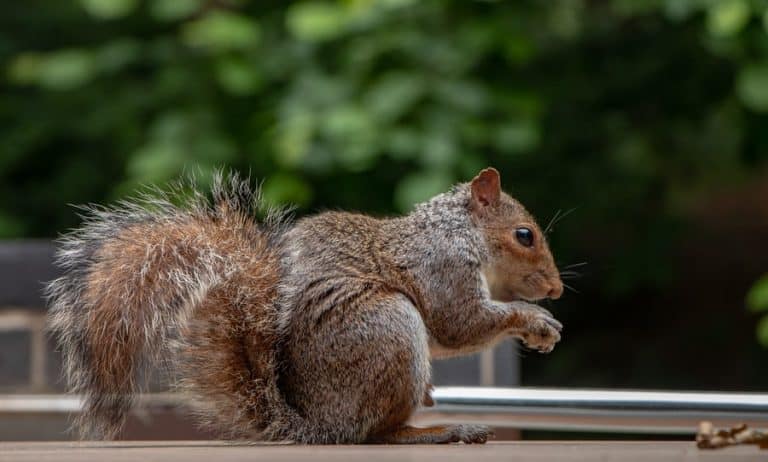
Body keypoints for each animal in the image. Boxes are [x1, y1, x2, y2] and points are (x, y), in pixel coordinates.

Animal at [46, 167, 564, 444]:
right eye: (524, 235)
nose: (557, 290)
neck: (459, 231)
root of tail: (320, 423)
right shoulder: (443, 265)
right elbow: (460, 323)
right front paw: (537, 321)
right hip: (388, 326)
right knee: (377, 433)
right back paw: (440, 430)